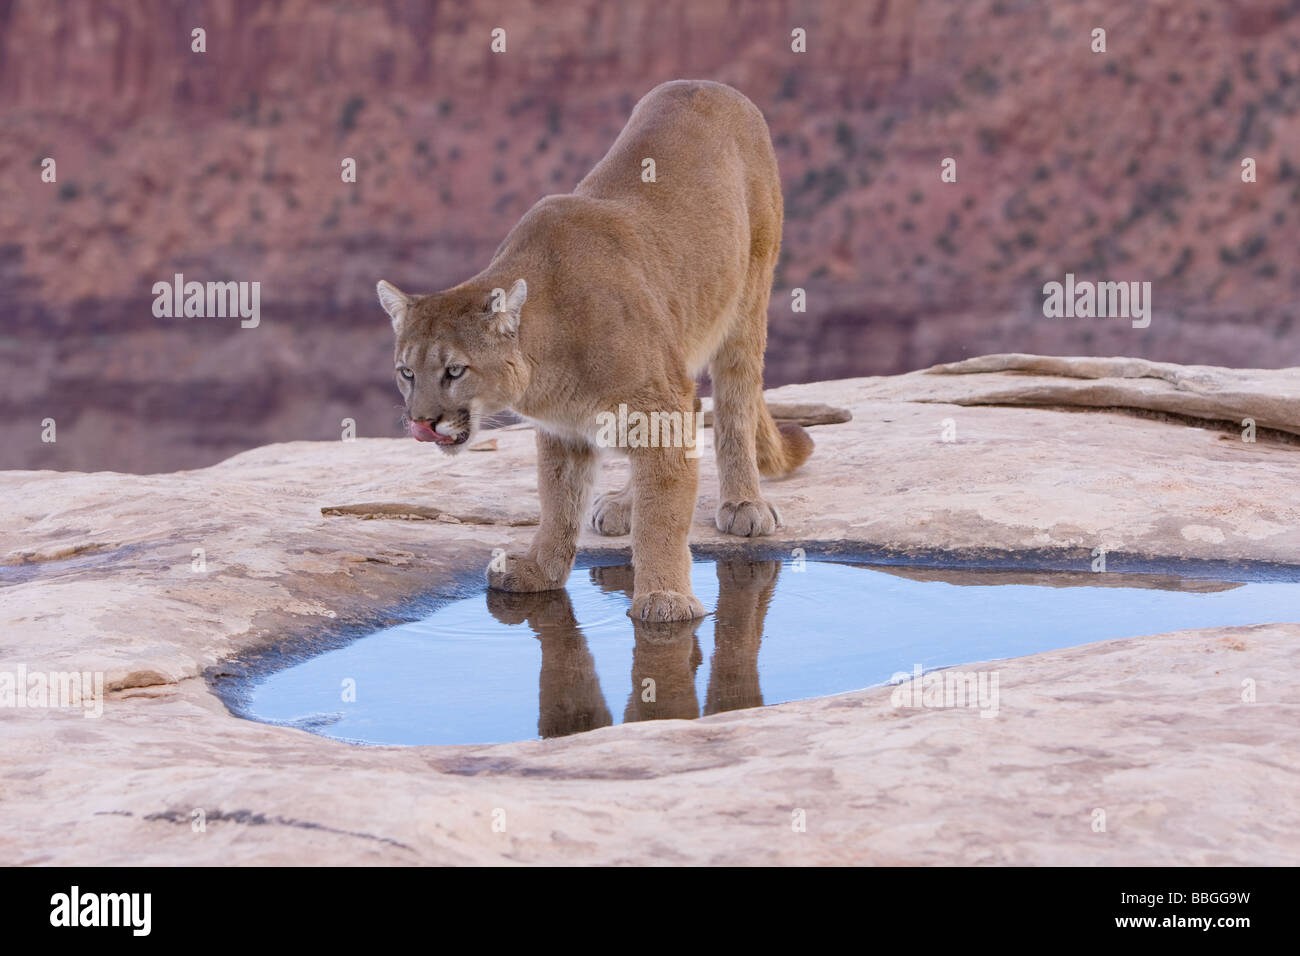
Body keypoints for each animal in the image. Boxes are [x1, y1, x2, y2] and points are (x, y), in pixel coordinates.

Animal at [376, 80, 812, 622]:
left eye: (455, 370)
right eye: (406, 372)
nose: (421, 421)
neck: (545, 361)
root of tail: (707, 84)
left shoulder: (656, 403)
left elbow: (664, 513)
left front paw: (665, 598)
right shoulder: (566, 429)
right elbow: (558, 503)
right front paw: (540, 570)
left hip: (747, 296)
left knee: (736, 399)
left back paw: (742, 504)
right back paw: (626, 502)